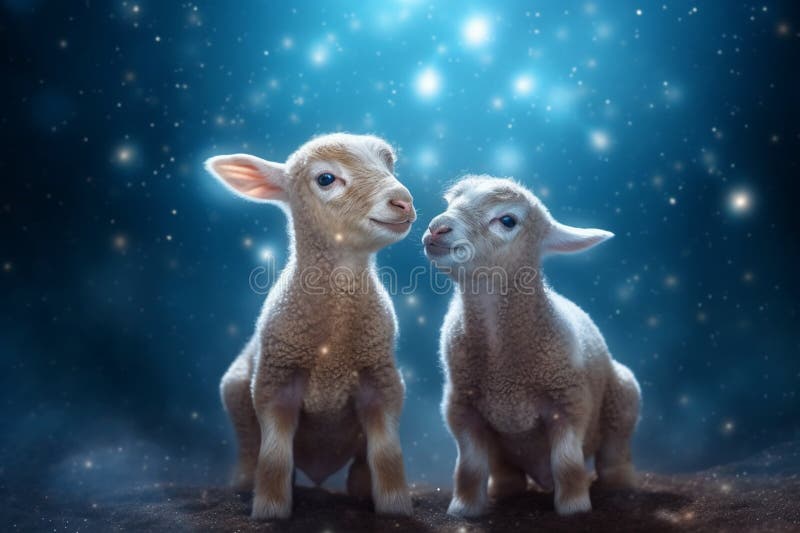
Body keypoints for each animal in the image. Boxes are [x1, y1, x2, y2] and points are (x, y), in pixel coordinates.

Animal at [205, 133, 416, 520]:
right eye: (326, 179)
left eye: (389, 163)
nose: (403, 201)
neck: (333, 346)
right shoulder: (275, 380)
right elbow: (274, 455)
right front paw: (270, 510)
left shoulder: (382, 380)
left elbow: (387, 453)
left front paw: (395, 507)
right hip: (236, 391)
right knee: (251, 447)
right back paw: (247, 483)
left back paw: (361, 488)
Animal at [422, 175, 641, 517]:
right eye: (450, 202)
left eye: (507, 220)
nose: (437, 228)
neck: (502, 368)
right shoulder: (461, 407)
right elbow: (469, 466)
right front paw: (465, 510)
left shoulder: (569, 402)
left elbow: (567, 463)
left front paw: (574, 509)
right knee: (504, 468)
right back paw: (505, 489)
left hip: (624, 395)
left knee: (614, 451)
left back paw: (619, 485)